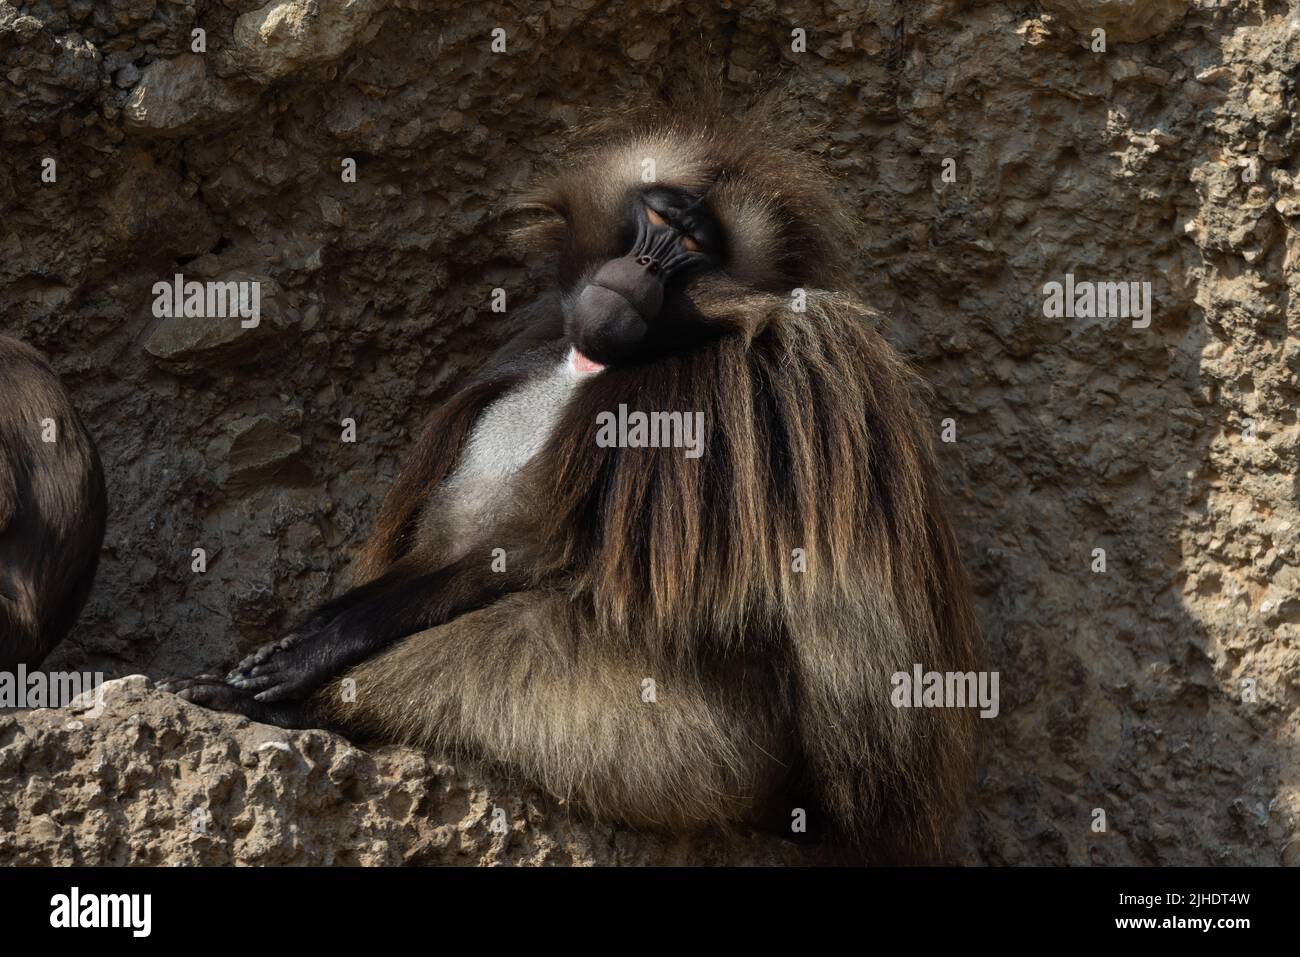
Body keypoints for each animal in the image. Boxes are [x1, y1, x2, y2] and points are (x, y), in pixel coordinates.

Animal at [163, 94, 982, 860]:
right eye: (658, 218)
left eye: (694, 247)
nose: (646, 266)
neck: (597, 365)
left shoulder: (776, 367)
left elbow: (544, 552)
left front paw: (313, 651)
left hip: (697, 744)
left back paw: (304, 706)